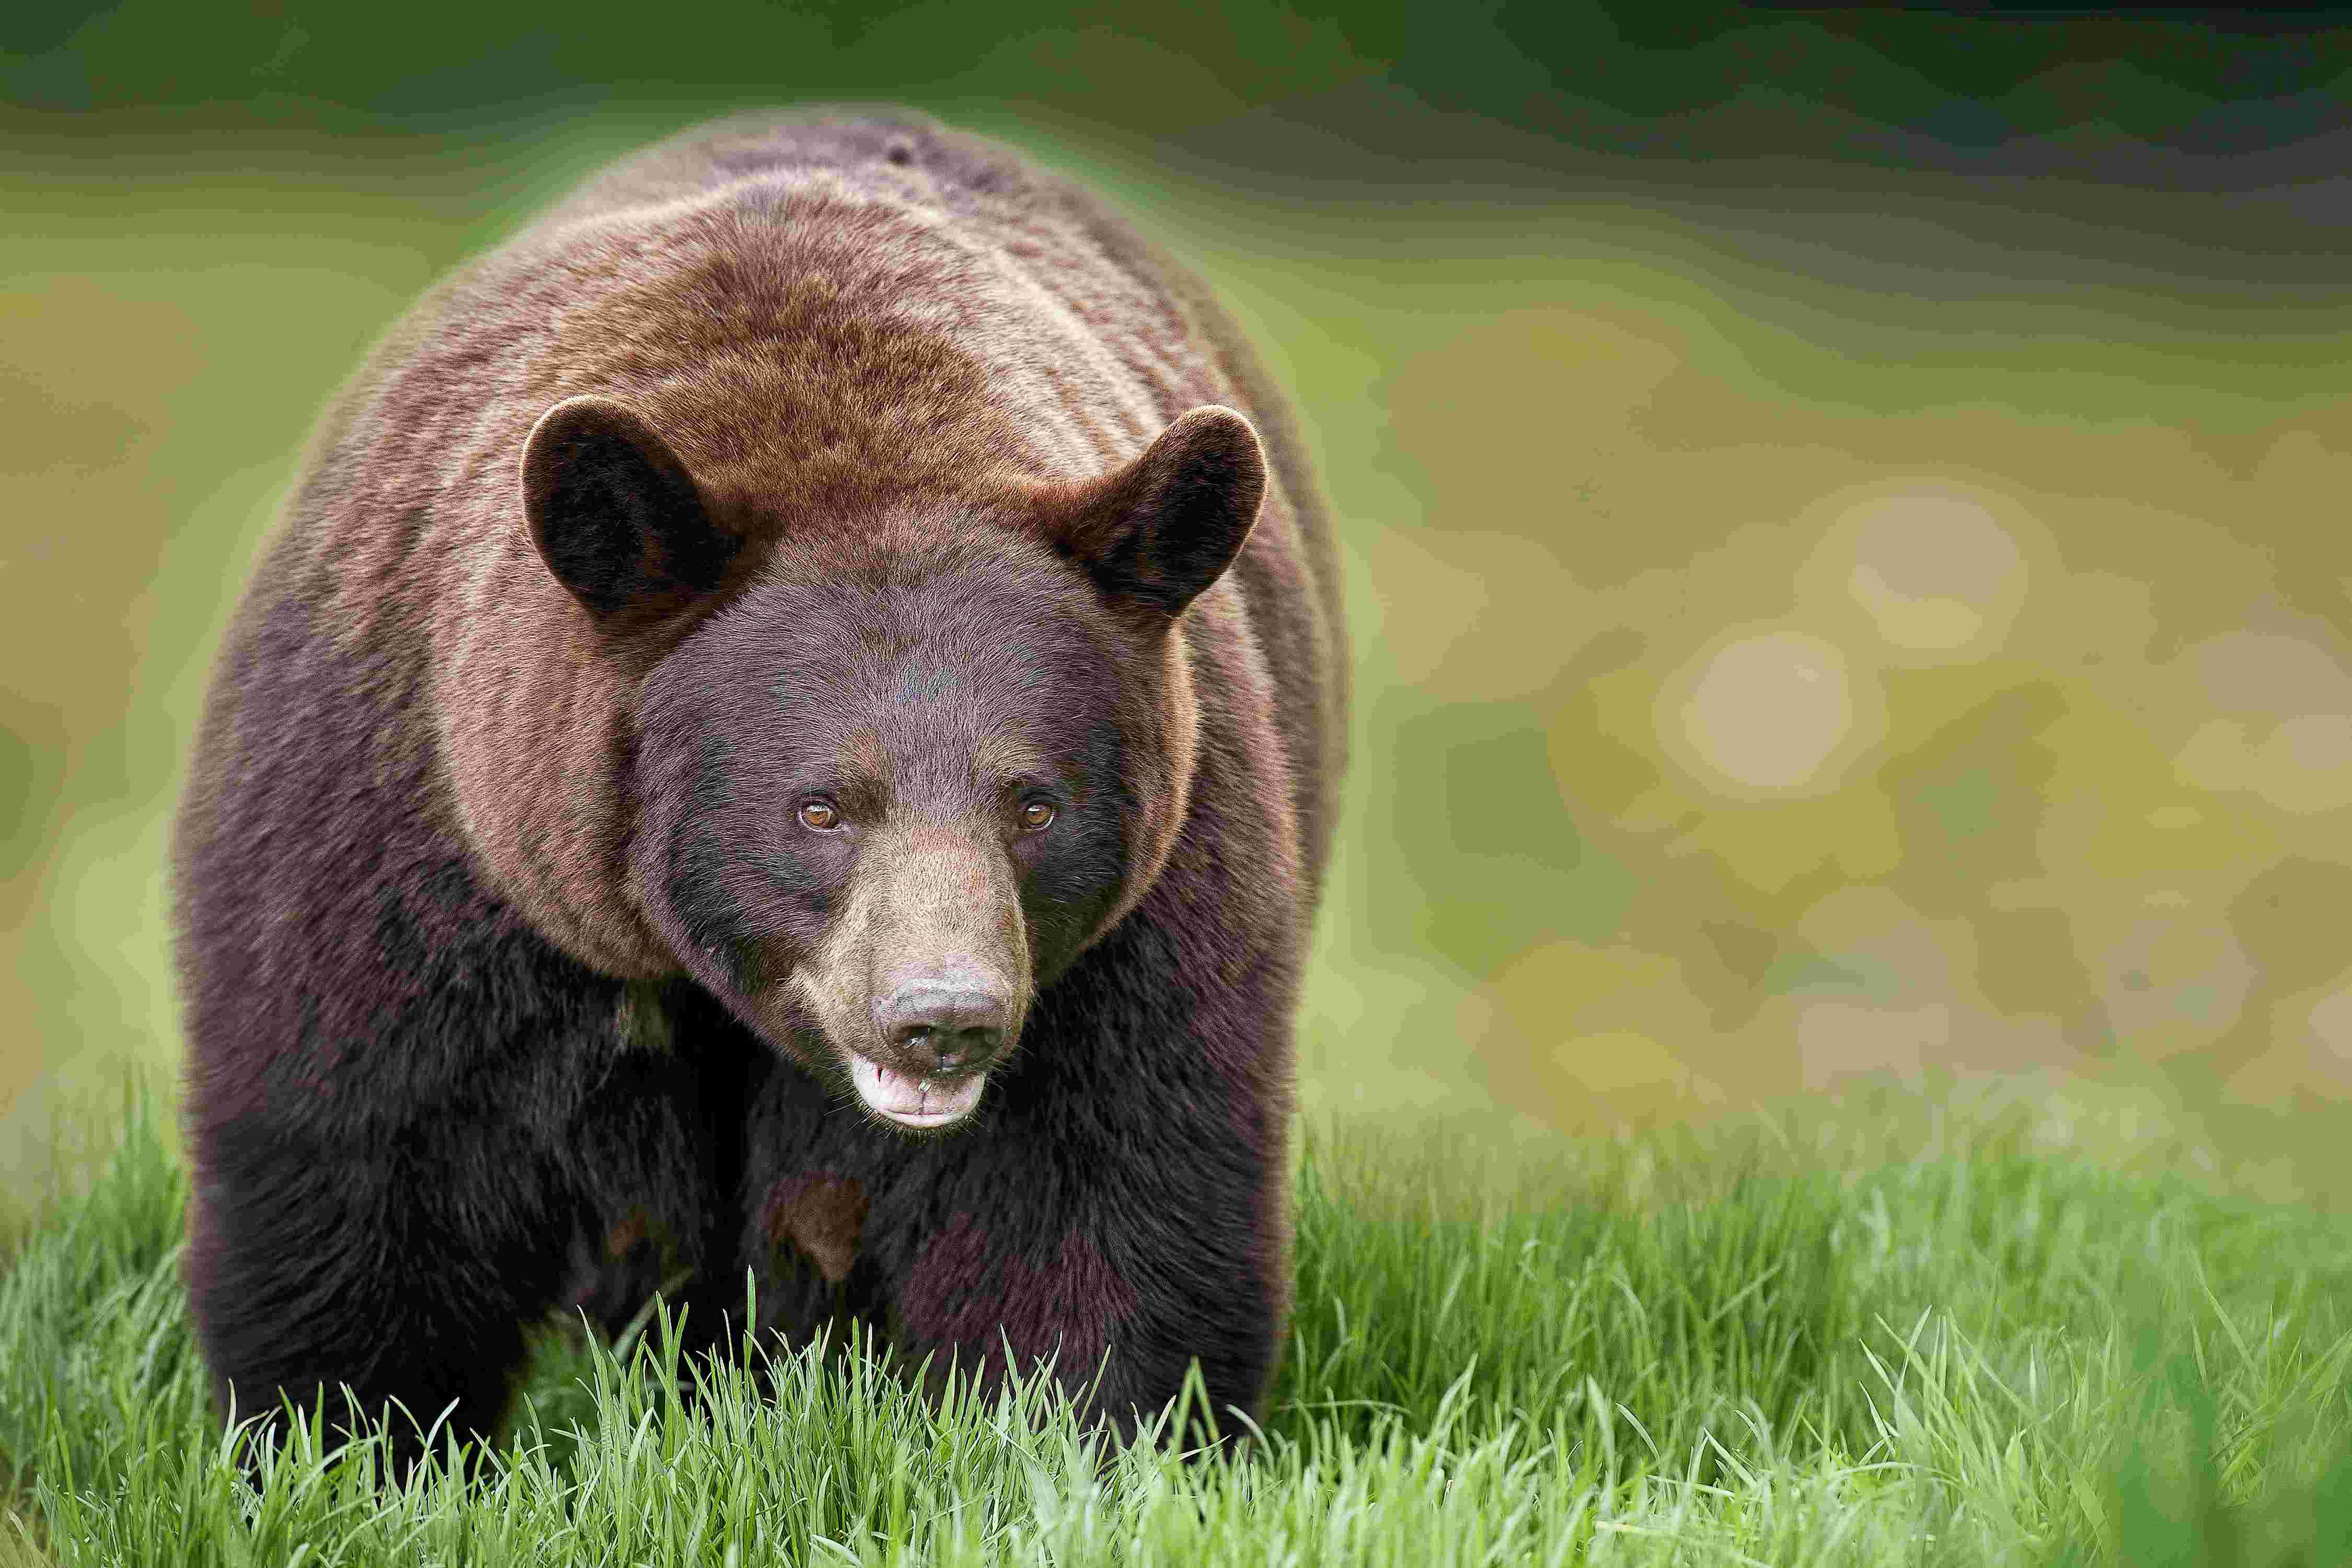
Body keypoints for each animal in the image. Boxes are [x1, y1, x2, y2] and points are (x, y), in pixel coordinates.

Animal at [170, 107, 1345, 1474]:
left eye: (1034, 801)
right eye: (819, 805)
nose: (942, 1018)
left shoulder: (1138, 931)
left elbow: (1097, 1203)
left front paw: (1091, 1446)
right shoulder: (410, 840)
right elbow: (364, 1173)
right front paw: (351, 1447)